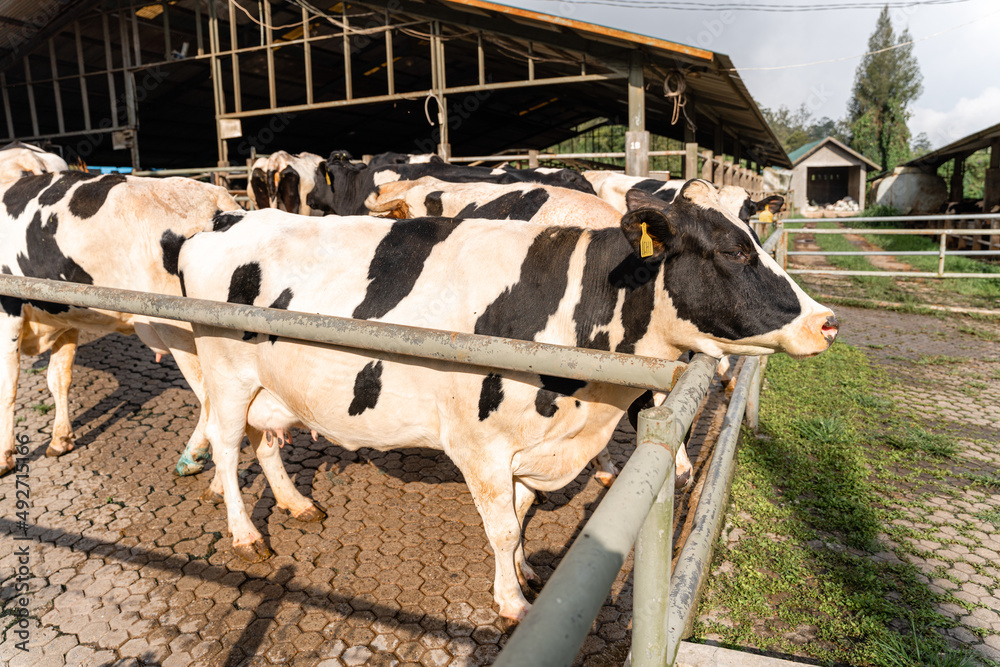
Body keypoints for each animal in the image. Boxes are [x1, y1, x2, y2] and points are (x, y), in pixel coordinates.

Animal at [0, 164, 241, 477]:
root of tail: (215, 199)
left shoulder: (7, 313)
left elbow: (7, 387)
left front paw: (4, 457)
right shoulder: (66, 316)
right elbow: (59, 378)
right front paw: (60, 439)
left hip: (183, 330)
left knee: (212, 400)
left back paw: (194, 459)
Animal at [176, 178, 838, 622]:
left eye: (754, 234)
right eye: (733, 251)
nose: (826, 322)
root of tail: (228, 220)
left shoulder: (531, 446)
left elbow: (519, 519)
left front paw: (523, 569)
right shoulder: (480, 446)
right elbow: (498, 527)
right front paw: (512, 601)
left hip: (269, 387)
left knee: (266, 444)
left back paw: (293, 503)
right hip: (226, 377)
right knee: (229, 451)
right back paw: (245, 535)